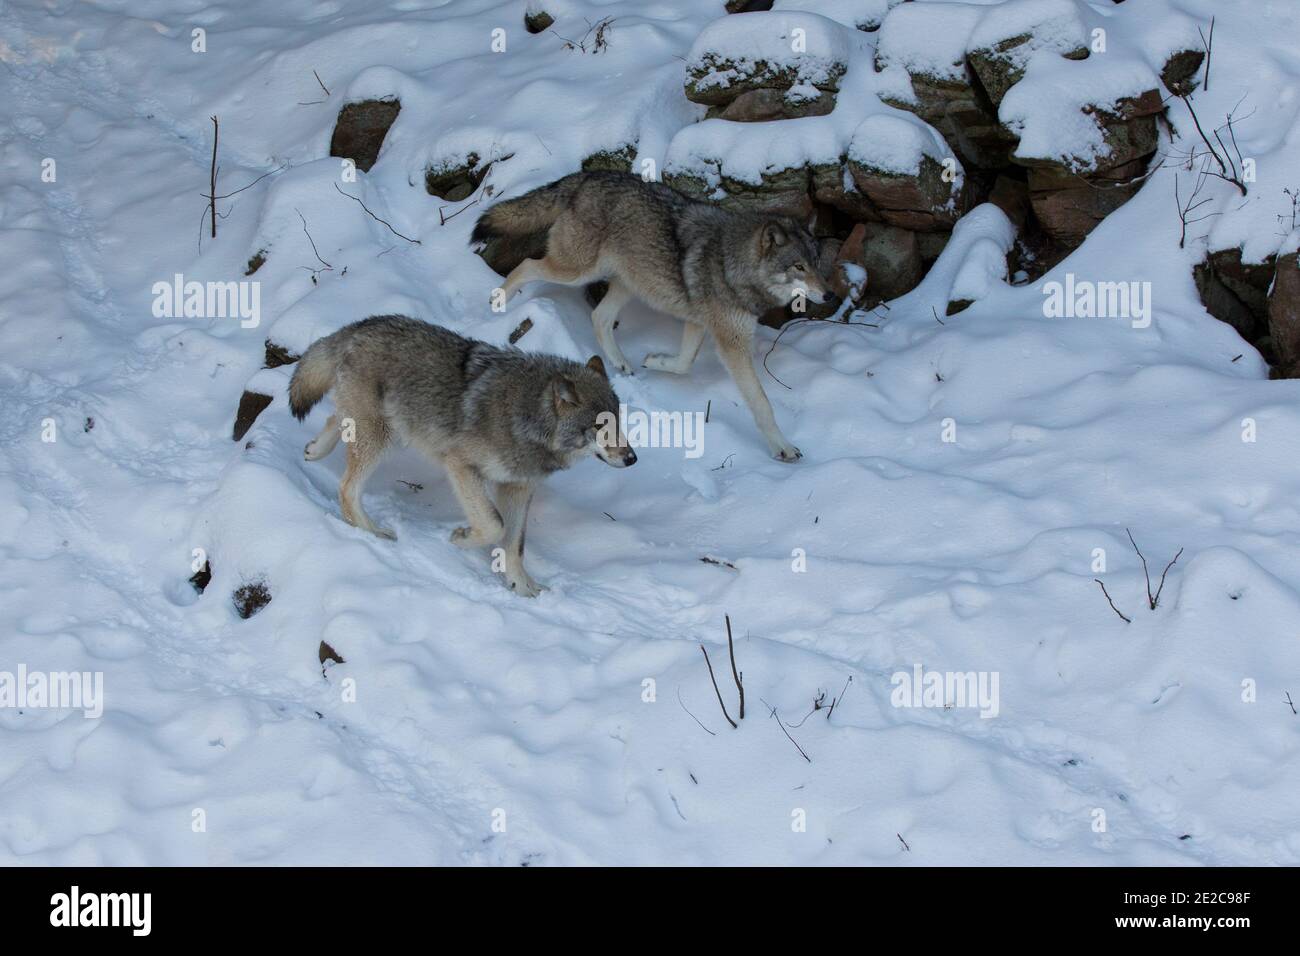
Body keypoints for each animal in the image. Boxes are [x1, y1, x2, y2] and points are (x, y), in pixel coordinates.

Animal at [288, 315, 636, 596]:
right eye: (599, 426)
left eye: (618, 419)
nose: (632, 459)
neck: (527, 417)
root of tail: (360, 325)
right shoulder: (461, 466)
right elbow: (495, 525)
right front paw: (460, 537)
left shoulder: (518, 488)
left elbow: (516, 544)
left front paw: (521, 587)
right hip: (380, 439)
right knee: (347, 487)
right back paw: (372, 533)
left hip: (388, 430)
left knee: (334, 420)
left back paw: (314, 451)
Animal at [471, 170, 836, 462]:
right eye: (798, 267)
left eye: (817, 263)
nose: (830, 295)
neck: (732, 265)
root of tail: (589, 175)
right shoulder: (731, 343)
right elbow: (761, 403)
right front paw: (783, 447)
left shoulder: (698, 323)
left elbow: (684, 363)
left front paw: (655, 361)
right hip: (576, 272)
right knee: (527, 265)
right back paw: (497, 300)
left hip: (626, 284)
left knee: (599, 317)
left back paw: (620, 363)